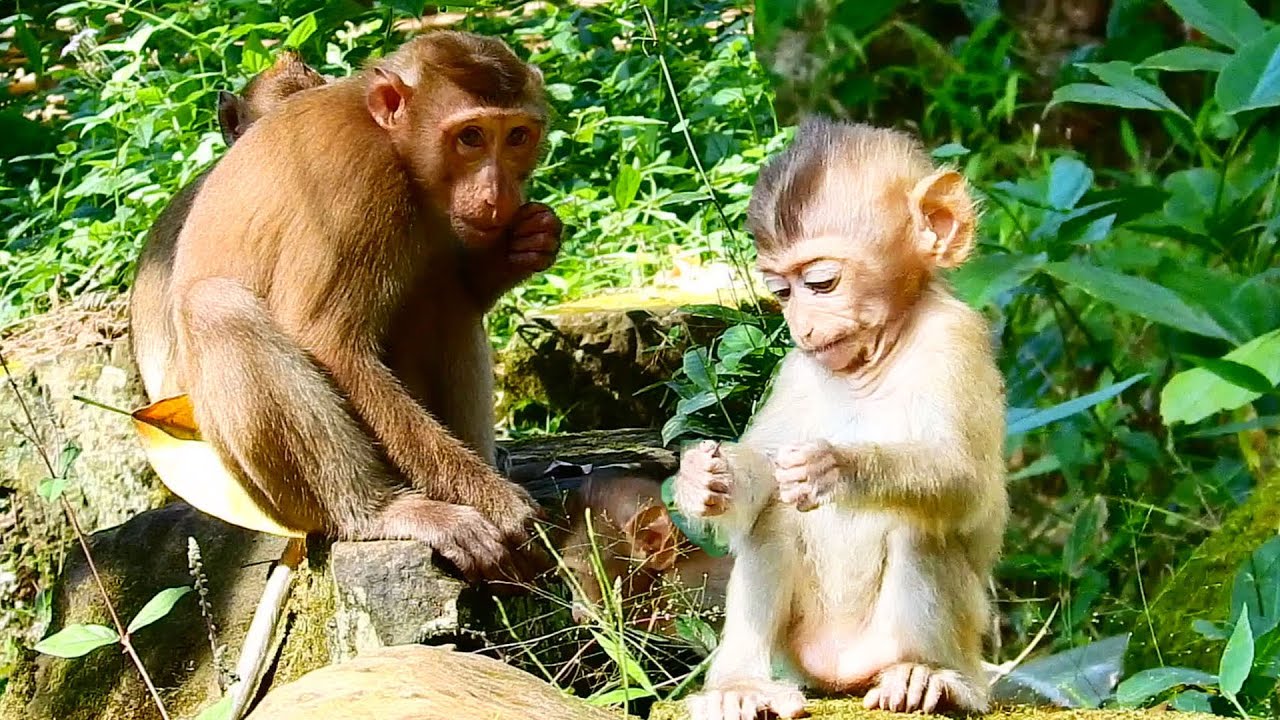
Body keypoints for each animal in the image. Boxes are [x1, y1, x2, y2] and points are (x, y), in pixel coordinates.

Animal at [672, 118, 1008, 719]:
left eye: (822, 282)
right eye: (781, 291)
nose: (802, 326)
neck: (875, 361)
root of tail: (841, 673)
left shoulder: (957, 339)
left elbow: (967, 482)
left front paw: (835, 466)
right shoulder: (797, 368)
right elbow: (763, 474)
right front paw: (704, 478)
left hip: (937, 637)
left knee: (921, 526)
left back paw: (934, 678)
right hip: (800, 650)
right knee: (773, 520)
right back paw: (741, 685)